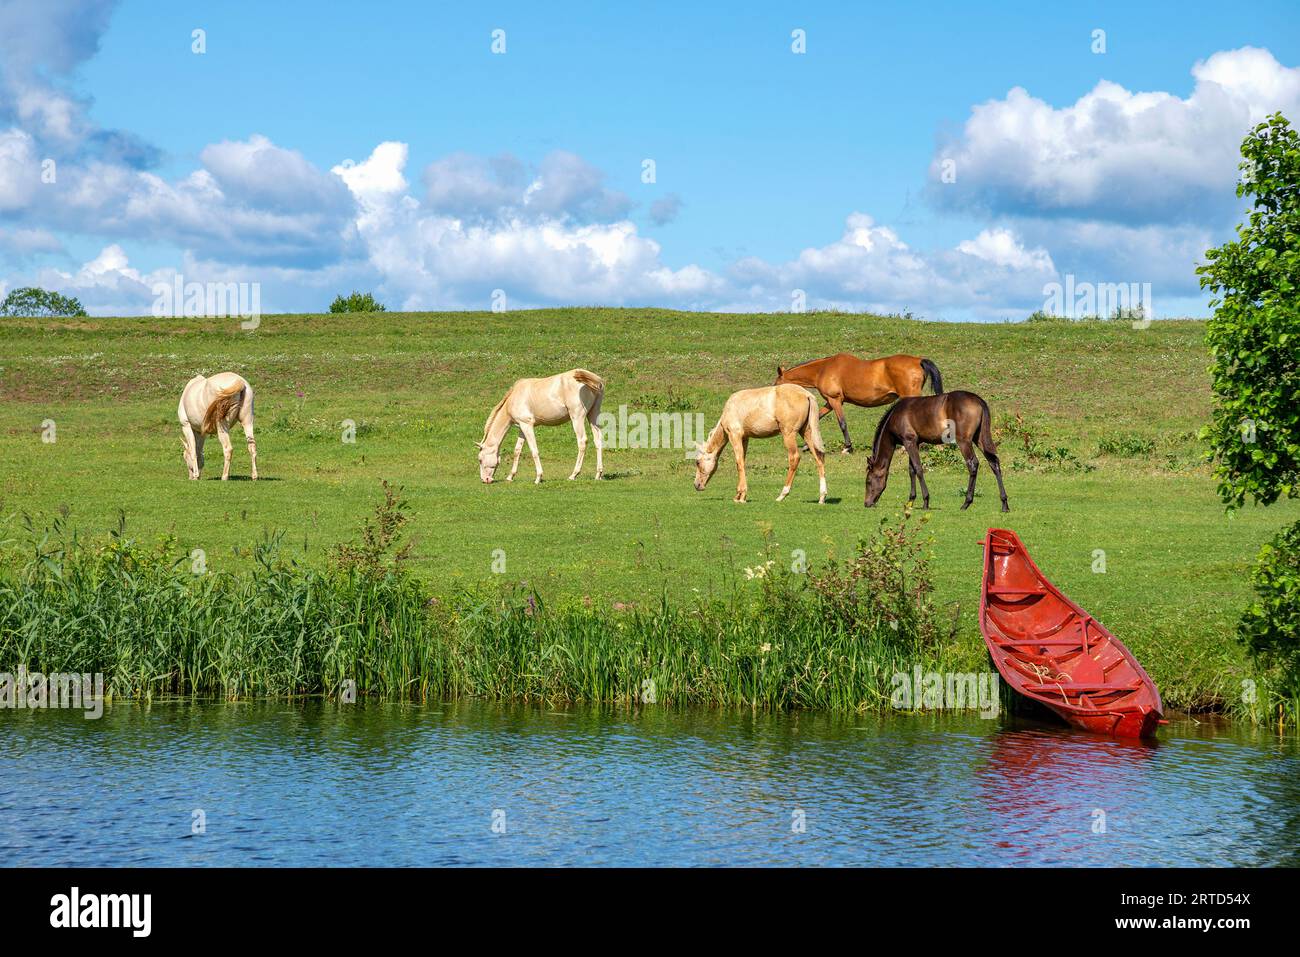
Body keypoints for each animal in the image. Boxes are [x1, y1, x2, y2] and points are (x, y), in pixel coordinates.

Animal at [693, 384, 827, 504]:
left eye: (698, 462)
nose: (696, 485)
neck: (730, 408)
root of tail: (806, 394)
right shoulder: (745, 438)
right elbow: (741, 462)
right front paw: (738, 495)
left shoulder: (734, 435)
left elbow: (739, 462)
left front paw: (742, 496)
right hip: (807, 433)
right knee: (819, 457)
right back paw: (822, 497)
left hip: (789, 434)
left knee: (794, 458)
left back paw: (782, 495)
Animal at [774, 353, 943, 453]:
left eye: (776, 384)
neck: (823, 369)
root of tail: (918, 361)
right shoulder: (830, 402)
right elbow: (817, 418)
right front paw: (806, 446)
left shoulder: (835, 400)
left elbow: (842, 423)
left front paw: (847, 447)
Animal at [864, 391, 1008, 512]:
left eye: (868, 481)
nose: (867, 503)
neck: (896, 415)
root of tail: (978, 400)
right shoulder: (914, 443)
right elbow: (911, 470)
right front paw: (910, 501)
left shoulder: (909, 441)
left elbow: (918, 469)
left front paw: (926, 502)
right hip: (979, 438)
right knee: (994, 463)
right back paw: (1004, 504)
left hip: (964, 441)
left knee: (973, 464)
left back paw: (966, 503)